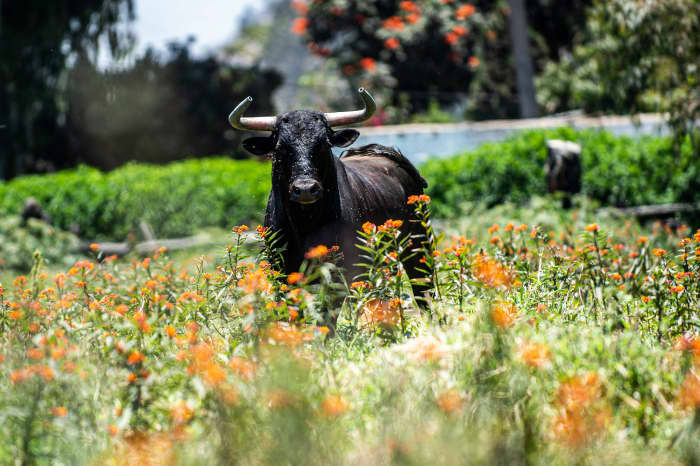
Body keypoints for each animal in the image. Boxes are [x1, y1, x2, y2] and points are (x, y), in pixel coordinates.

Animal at [228, 88, 431, 315]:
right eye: (281, 147)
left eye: (323, 144)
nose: (305, 189)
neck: (305, 224)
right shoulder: (283, 271)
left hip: (418, 249)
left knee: (424, 293)